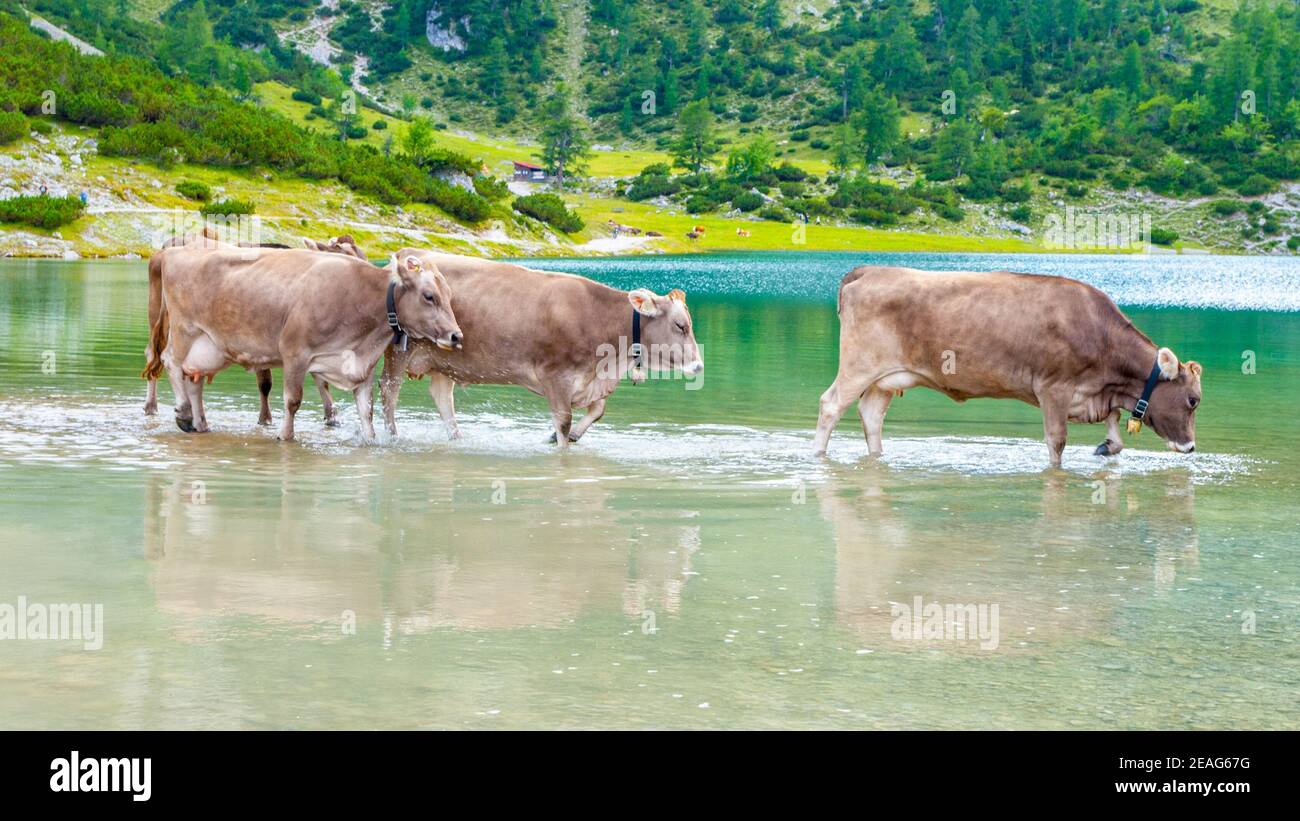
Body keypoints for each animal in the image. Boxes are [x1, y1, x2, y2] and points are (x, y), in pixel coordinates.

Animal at [142, 247, 462, 441]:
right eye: (429, 296)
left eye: (449, 294)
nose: (456, 336)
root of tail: (173, 251)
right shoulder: (295, 351)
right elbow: (293, 400)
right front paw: (285, 436)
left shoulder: (362, 365)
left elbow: (366, 410)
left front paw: (370, 440)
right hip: (184, 329)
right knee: (170, 361)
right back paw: (184, 412)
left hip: (211, 345)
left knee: (193, 377)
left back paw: (200, 424)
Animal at [378, 252, 703, 446]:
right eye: (680, 326)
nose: (699, 365)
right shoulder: (557, 377)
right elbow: (564, 422)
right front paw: (561, 442)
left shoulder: (589, 382)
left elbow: (598, 411)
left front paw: (570, 436)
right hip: (400, 350)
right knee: (389, 391)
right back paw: (393, 437)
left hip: (445, 360)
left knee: (443, 397)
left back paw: (457, 438)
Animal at [813, 266, 1203, 467]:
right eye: (1193, 400)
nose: (1191, 447)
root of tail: (870, 269)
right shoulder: (1054, 389)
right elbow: (1057, 442)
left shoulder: (1097, 394)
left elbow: (1115, 430)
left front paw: (1105, 446)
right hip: (858, 364)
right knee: (830, 404)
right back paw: (818, 455)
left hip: (887, 377)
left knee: (871, 414)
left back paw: (878, 456)